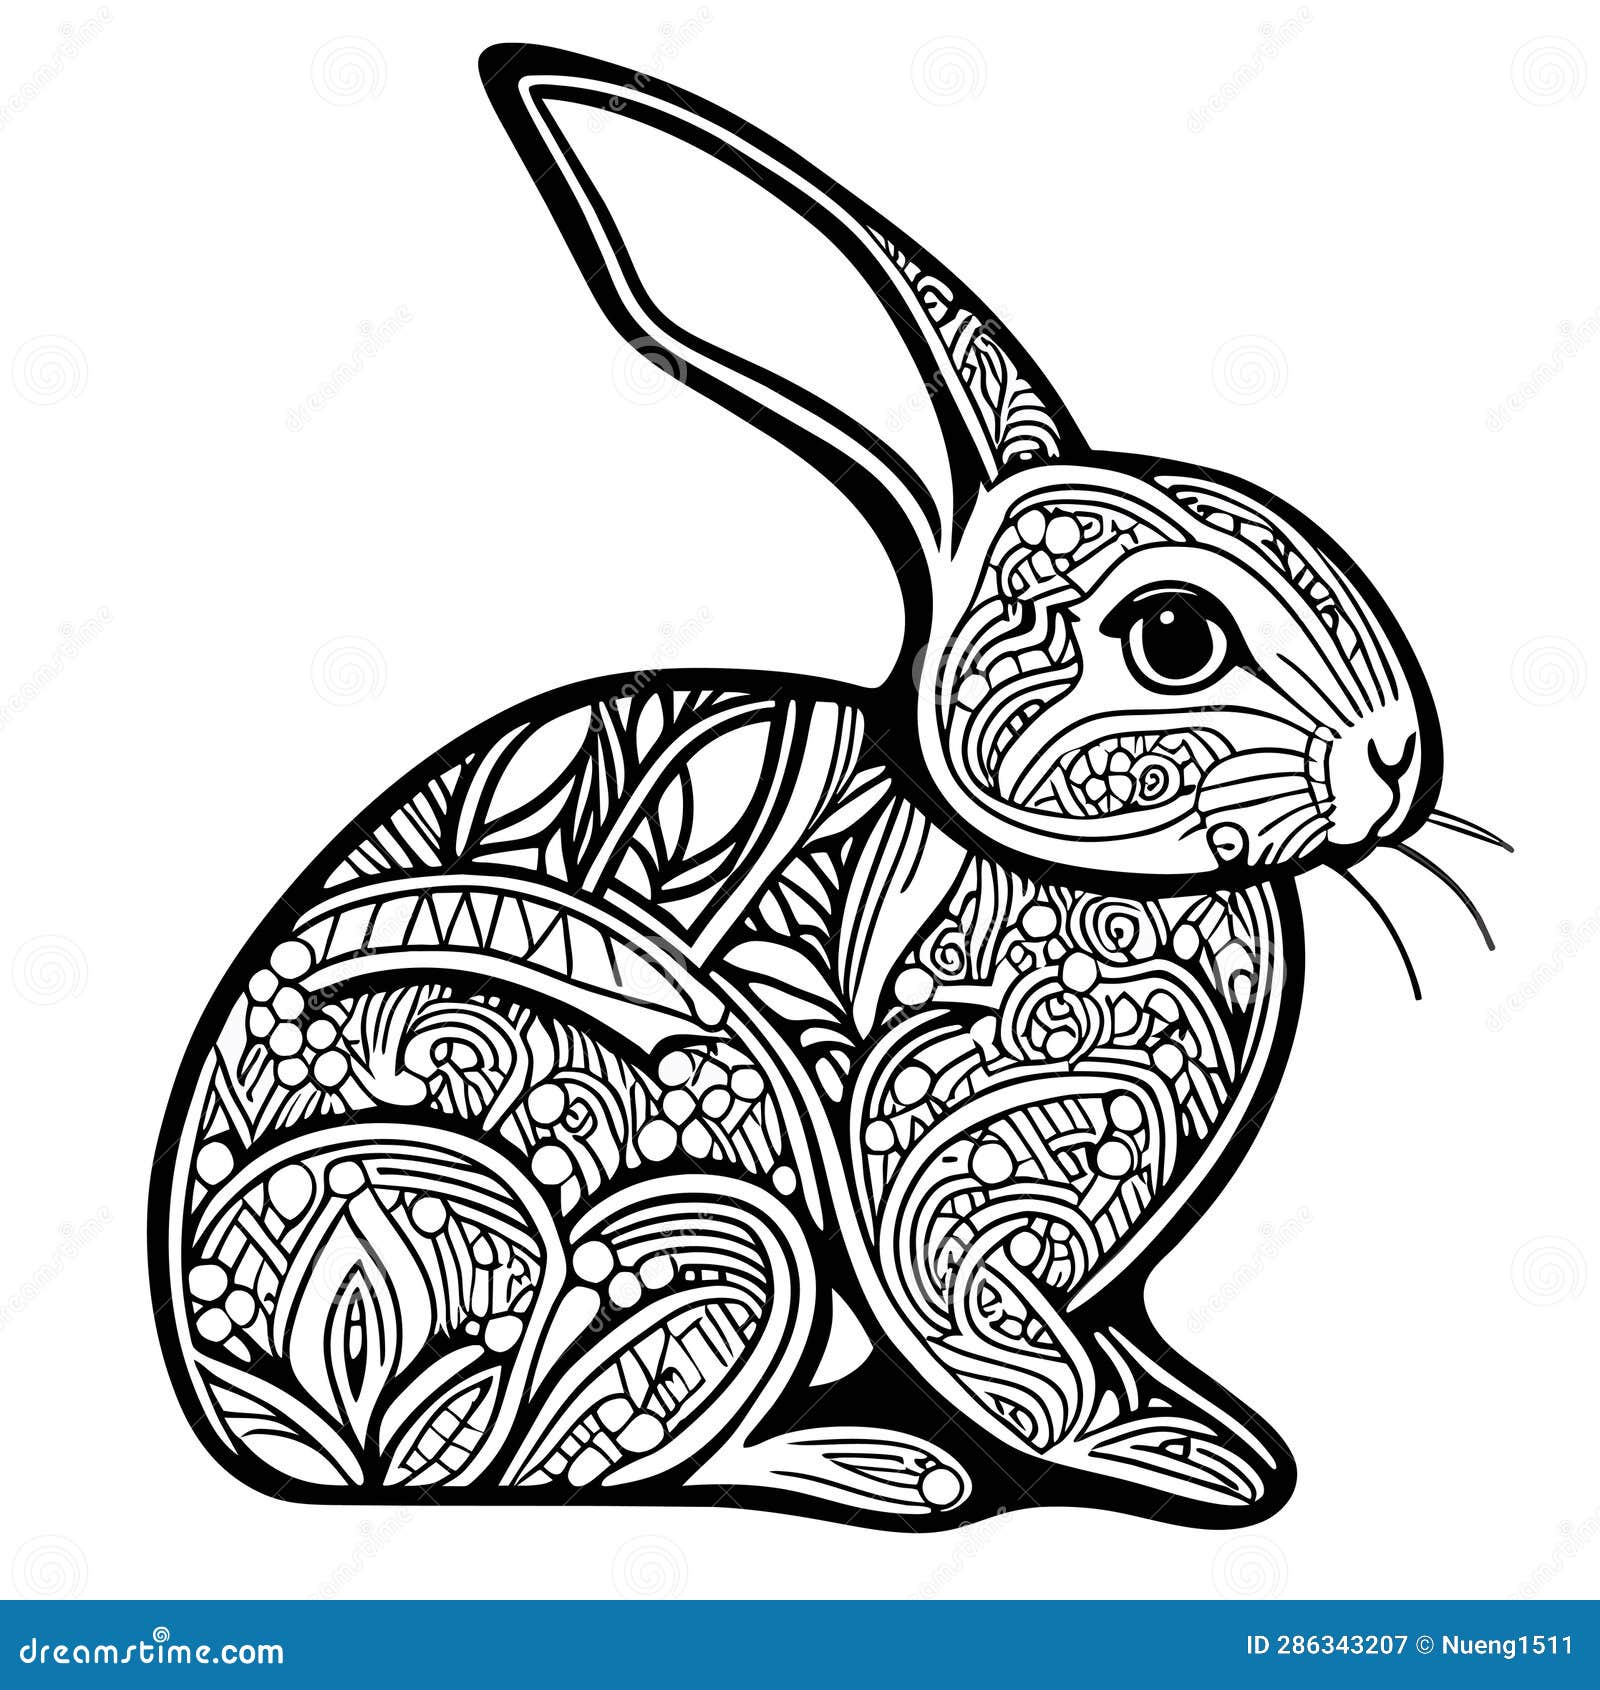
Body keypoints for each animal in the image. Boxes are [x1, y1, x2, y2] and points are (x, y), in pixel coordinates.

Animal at [149, 43, 1490, 1531]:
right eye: (1176, 638)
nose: (1396, 759)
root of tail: (281, 1433)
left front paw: (1216, 1440)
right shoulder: (944, 1187)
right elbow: (1004, 1355)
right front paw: (1173, 1461)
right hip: (710, 1241)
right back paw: (883, 1469)